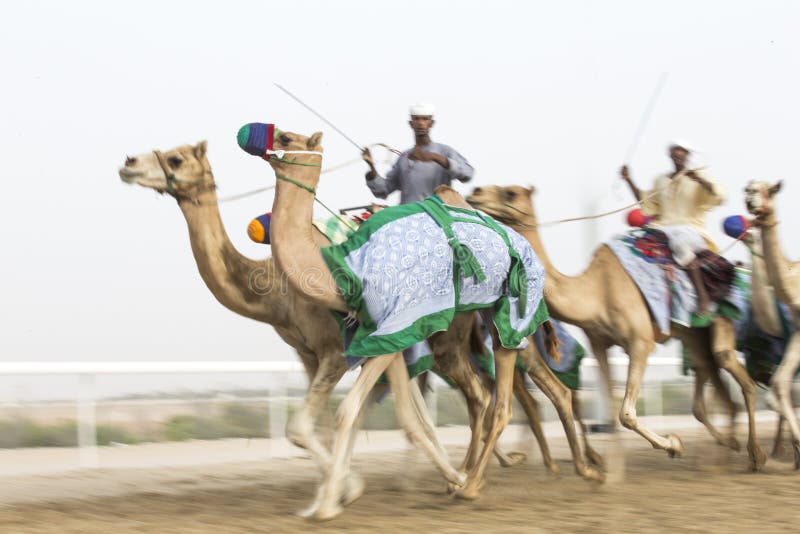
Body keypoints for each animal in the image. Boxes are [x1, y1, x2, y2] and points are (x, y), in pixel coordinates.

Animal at [243, 124, 600, 519]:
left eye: (286, 138)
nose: (250, 133)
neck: (346, 265)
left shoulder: (397, 322)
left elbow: (349, 412)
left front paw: (329, 504)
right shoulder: (385, 337)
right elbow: (405, 416)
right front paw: (328, 499)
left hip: (508, 312)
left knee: (502, 401)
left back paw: (479, 483)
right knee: (529, 393)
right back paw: (570, 470)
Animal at [467, 185, 767, 472]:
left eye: (510, 193)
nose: (475, 193)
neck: (596, 292)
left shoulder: (640, 341)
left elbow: (626, 414)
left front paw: (673, 445)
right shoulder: (599, 344)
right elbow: (611, 412)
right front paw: (610, 474)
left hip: (720, 319)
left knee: (736, 372)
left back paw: (755, 455)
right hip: (693, 333)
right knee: (713, 383)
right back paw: (724, 453)